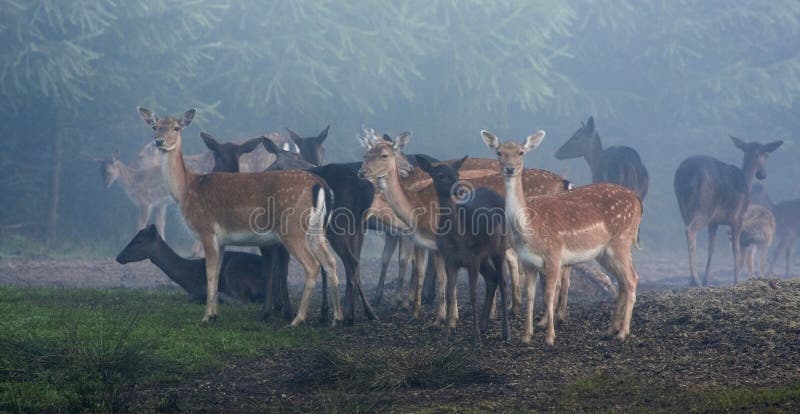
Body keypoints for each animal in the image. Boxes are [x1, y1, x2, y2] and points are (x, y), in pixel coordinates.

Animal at [136, 107, 342, 326]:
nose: (159, 141)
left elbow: (210, 273)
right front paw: (214, 314)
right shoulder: (222, 240)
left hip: (292, 228)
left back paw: (297, 320)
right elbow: (217, 273)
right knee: (330, 262)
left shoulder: (207, 230)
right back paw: (337, 318)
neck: (187, 189)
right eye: (155, 126)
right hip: (316, 230)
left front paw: (206, 317)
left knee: (312, 266)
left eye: (176, 127)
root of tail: (321, 185)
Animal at [416, 156, 511, 344]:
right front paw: (445, 336)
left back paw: (505, 333)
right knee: (492, 278)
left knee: (503, 283)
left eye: (457, 173)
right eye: (440, 175)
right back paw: (483, 325)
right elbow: (449, 294)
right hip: (484, 256)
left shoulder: (472, 258)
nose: (458, 188)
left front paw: (475, 337)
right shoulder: (450, 259)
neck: (457, 238)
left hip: (499, 247)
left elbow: (472, 295)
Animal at [481, 130, 642, 346]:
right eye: (499, 152)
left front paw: (550, 337)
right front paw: (526, 336)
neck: (529, 228)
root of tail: (638, 202)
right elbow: (531, 296)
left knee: (632, 279)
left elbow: (550, 293)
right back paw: (610, 330)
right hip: (604, 253)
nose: (510, 168)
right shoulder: (528, 261)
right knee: (622, 282)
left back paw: (623, 333)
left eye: (521, 152)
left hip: (622, 241)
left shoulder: (554, 253)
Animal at [674, 136, 783, 286]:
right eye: (766, 155)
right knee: (690, 231)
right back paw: (695, 279)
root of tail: (687, 172)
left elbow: (711, 248)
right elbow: (736, 249)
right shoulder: (738, 217)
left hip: (684, 207)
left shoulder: (714, 222)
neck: (746, 181)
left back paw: (694, 279)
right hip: (704, 207)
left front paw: (706, 279)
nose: (762, 174)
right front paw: (736, 280)